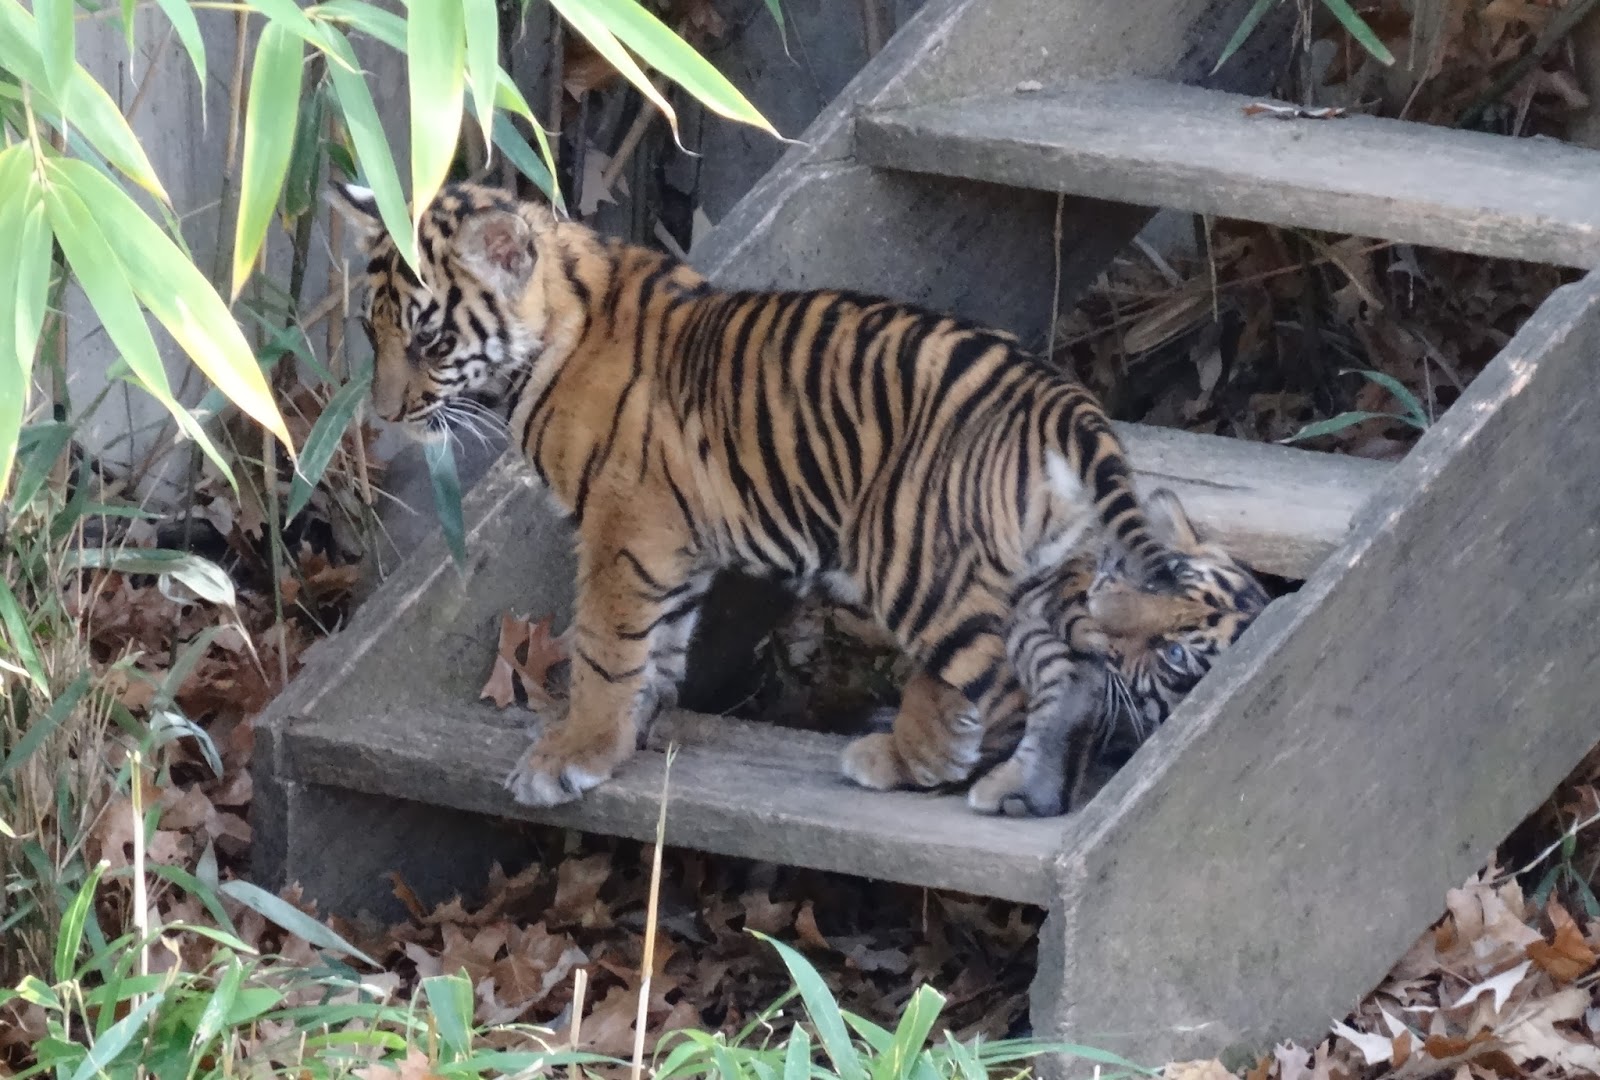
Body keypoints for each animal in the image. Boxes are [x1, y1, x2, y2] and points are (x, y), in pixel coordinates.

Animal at [330, 179, 1198, 811]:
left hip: (917, 564)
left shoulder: (624, 527)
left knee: (1004, 686)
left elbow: (607, 647)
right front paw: (630, 730)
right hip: (1033, 573)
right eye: (370, 332)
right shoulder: (671, 539)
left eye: (432, 339)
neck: (552, 332)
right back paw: (1032, 790)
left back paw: (934, 767)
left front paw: (574, 754)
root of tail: (1060, 400)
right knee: (1072, 677)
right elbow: (659, 643)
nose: (383, 415)